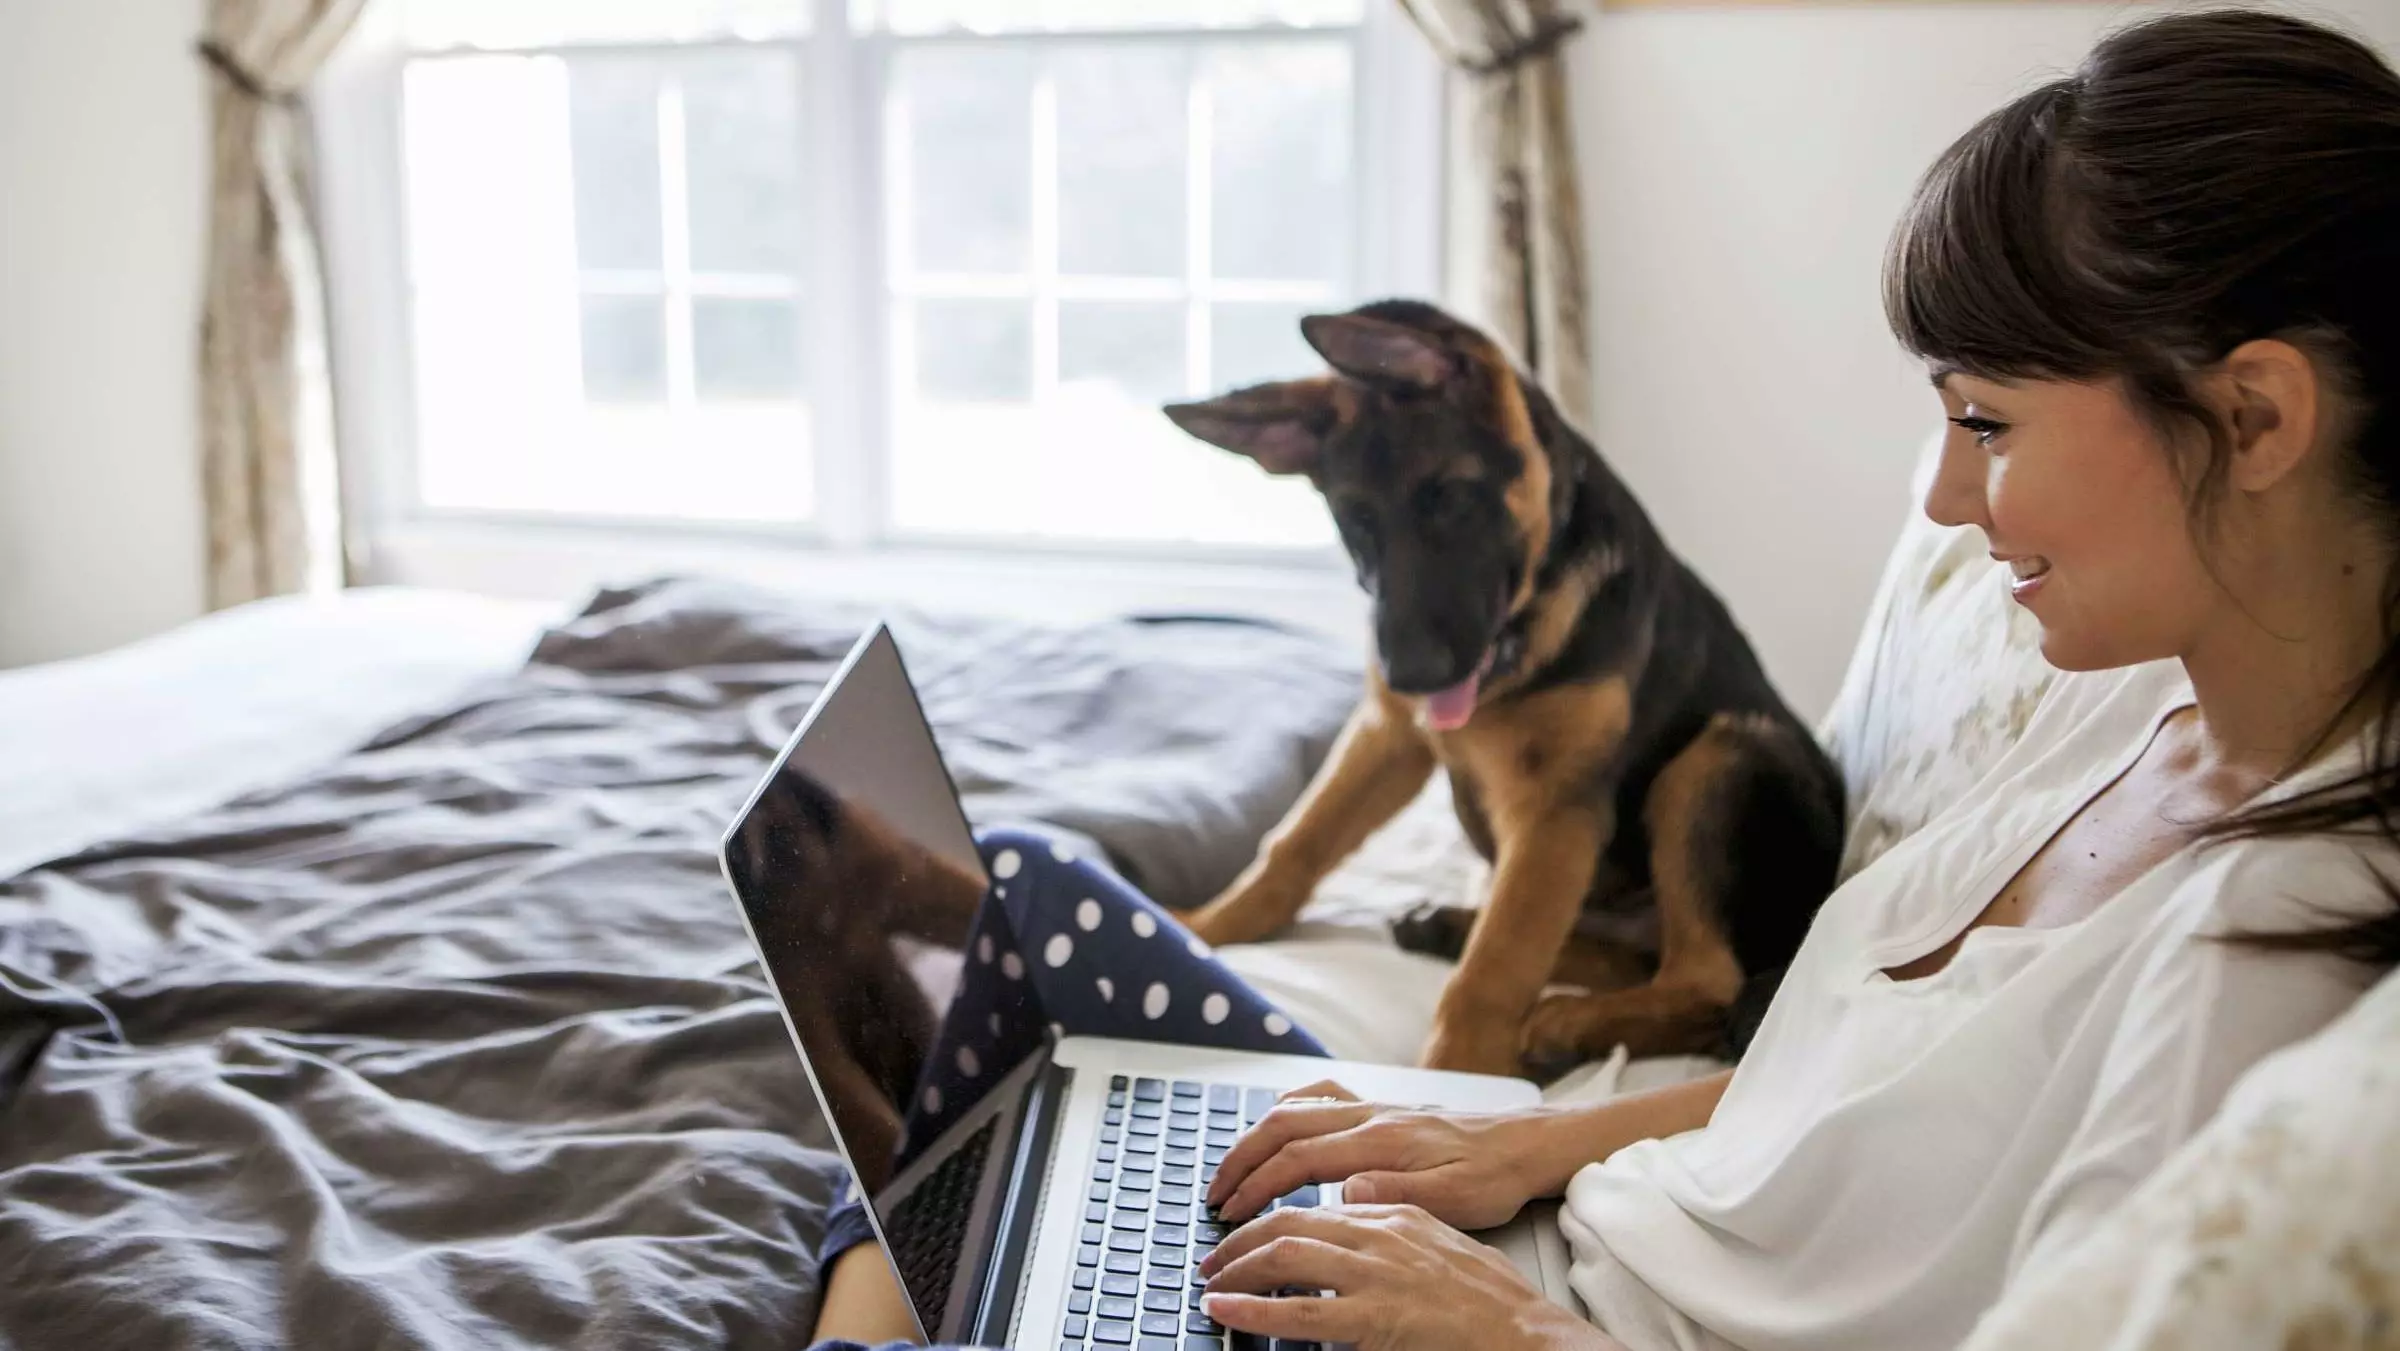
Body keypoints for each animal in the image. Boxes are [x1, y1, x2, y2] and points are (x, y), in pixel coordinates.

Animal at [1161, 298, 1833, 1079]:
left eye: (1452, 498)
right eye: (1357, 521)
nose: (1411, 674)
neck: (1524, 634)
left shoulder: (1554, 808)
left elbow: (1496, 967)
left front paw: (1455, 1074)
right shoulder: (1386, 737)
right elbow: (1295, 842)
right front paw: (1206, 929)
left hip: (1722, 754)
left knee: (1701, 976)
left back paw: (1567, 1022)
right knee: (1624, 954)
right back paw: (1453, 930)